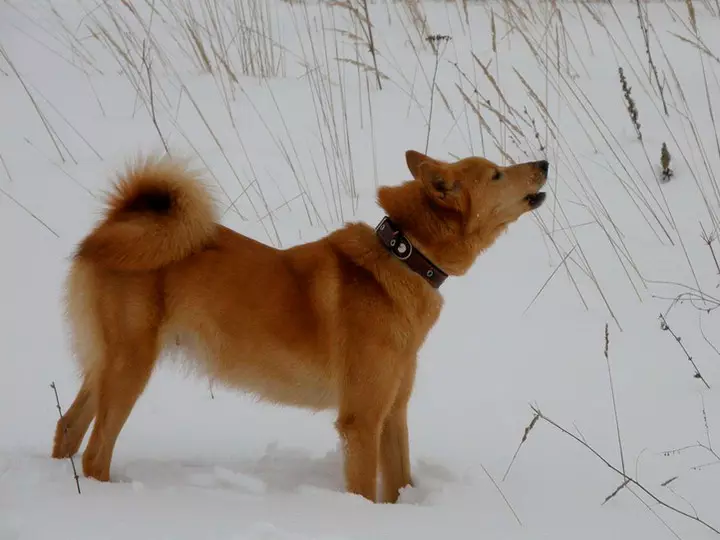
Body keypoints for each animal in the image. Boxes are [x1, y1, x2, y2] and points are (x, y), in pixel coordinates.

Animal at [52, 149, 544, 502]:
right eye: (497, 174)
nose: (544, 163)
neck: (403, 255)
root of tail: (118, 220)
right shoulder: (362, 421)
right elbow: (365, 491)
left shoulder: (393, 412)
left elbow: (400, 482)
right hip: (130, 368)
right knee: (95, 454)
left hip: (107, 368)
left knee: (68, 428)